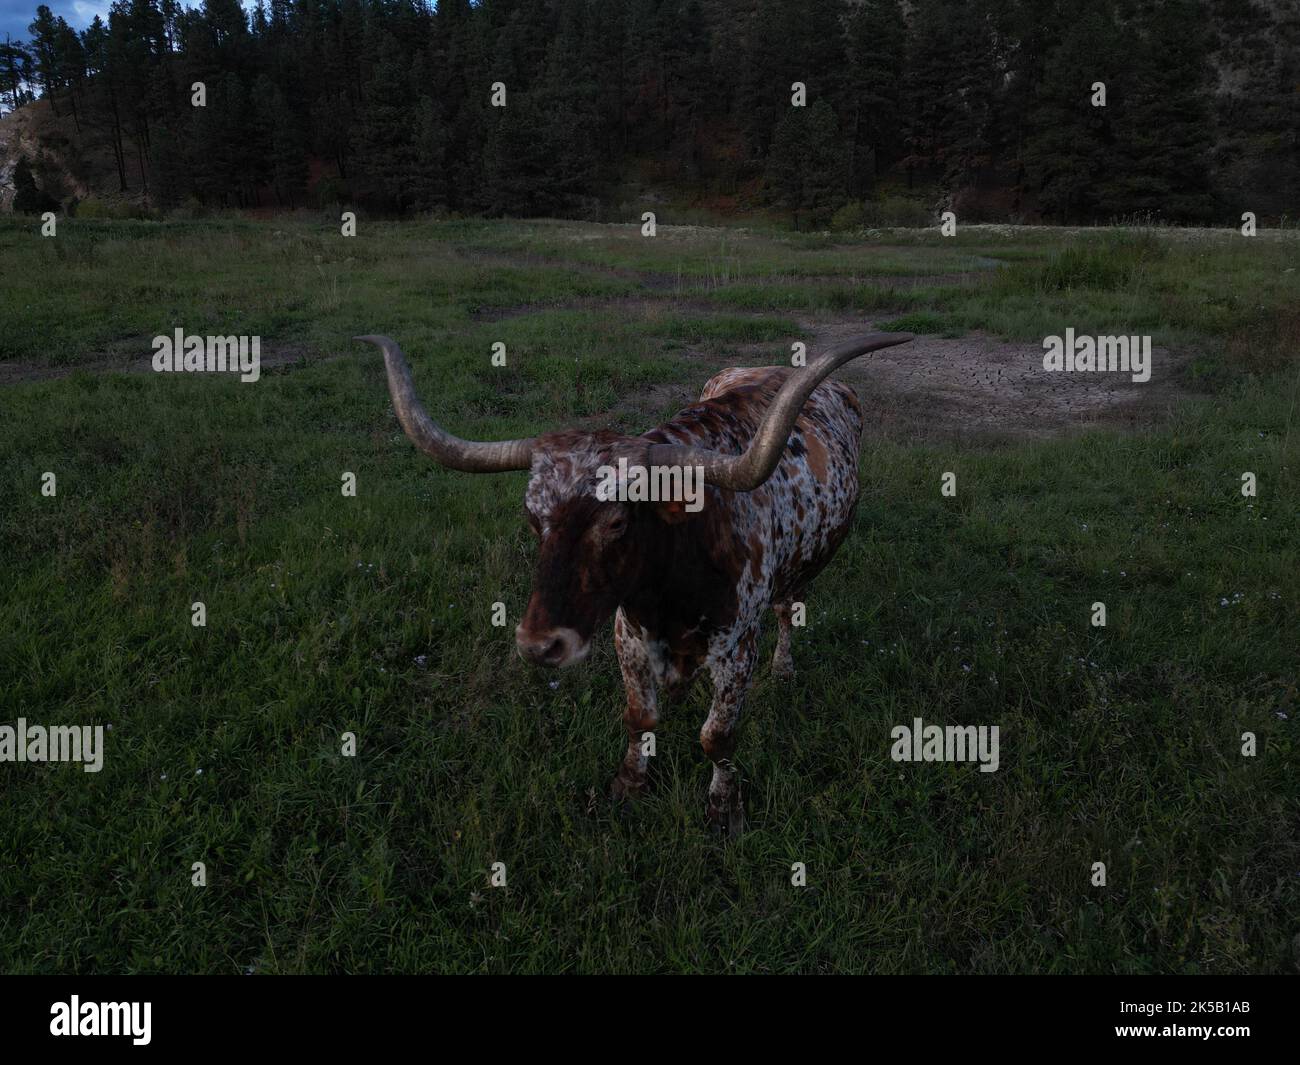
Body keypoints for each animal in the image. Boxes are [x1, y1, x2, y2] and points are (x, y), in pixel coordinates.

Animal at [355, 331, 914, 833]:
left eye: (618, 522)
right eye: (533, 518)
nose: (540, 646)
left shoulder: (738, 650)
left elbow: (717, 737)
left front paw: (724, 806)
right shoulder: (628, 635)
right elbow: (639, 718)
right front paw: (629, 783)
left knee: (787, 612)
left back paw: (784, 668)